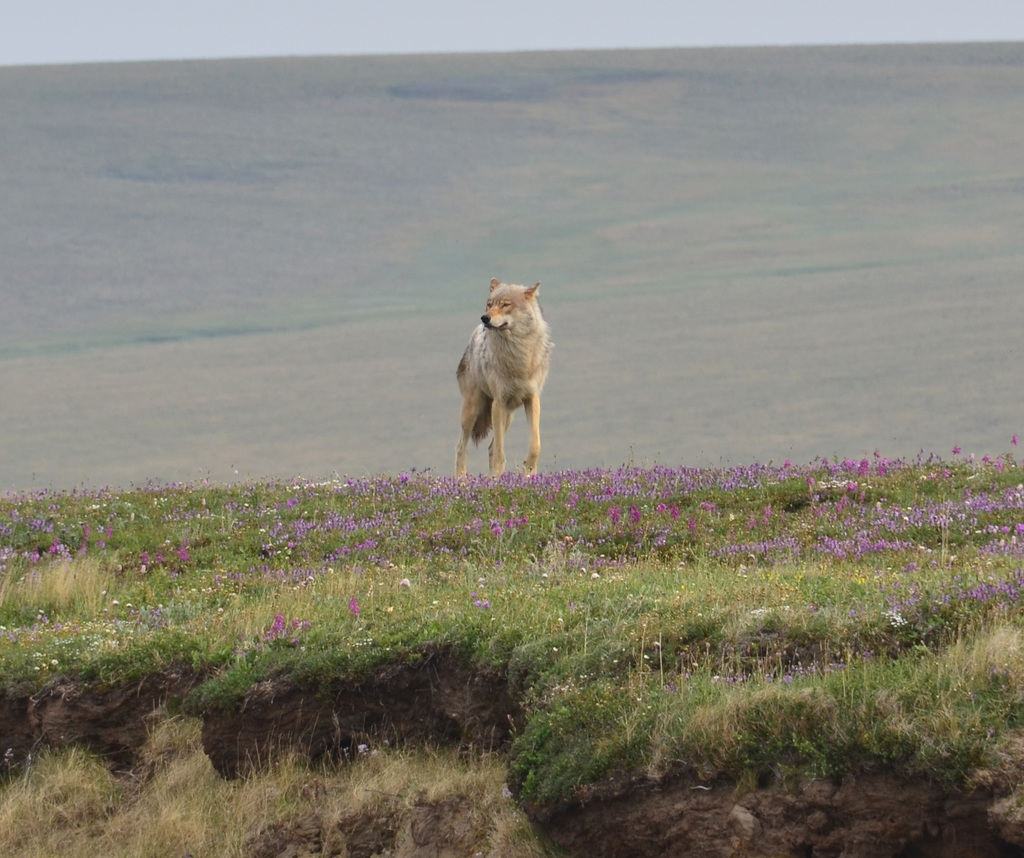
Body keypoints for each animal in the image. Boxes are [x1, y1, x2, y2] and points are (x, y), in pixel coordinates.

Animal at [455, 278, 553, 477]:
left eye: (506, 305)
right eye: (489, 304)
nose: (485, 318)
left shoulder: (532, 399)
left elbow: (535, 445)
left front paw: (529, 472)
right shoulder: (498, 403)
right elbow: (500, 452)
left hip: (508, 416)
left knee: (490, 448)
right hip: (472, 412)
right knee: (461, 447)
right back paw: (461, 480)